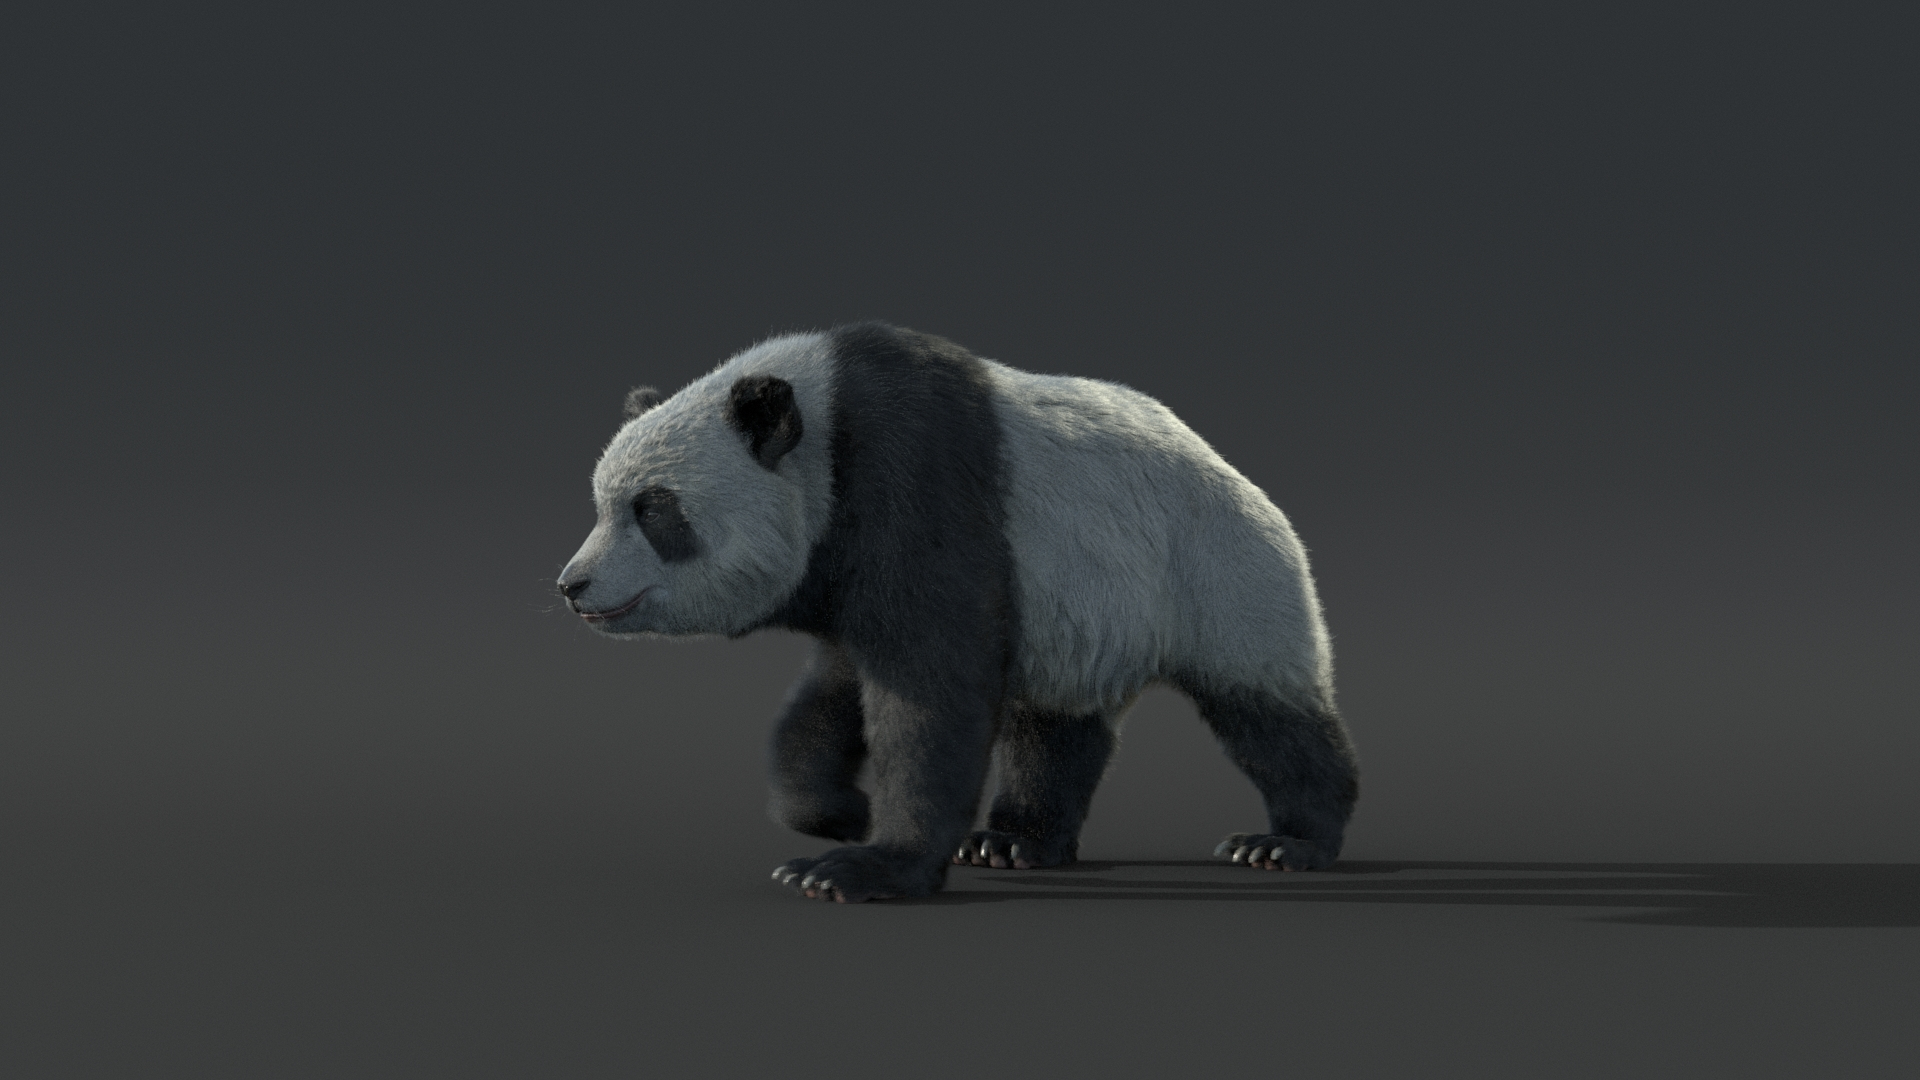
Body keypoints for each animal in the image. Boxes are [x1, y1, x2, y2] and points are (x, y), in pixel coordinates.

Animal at [558, 323, 1359, 903]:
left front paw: (865, 869)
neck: (827, 423)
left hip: (1212, 568)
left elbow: (928, 692)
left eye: (654, 509)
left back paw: (1287, 843)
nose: (573, 584)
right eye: (601, 503)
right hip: (1087, 606)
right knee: (1057, 719)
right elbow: (835, 689)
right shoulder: (842, 558)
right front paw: (835, 814)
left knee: (1263, 707)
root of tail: (1230, 468)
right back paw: (1018, 841)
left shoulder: (917, 481)